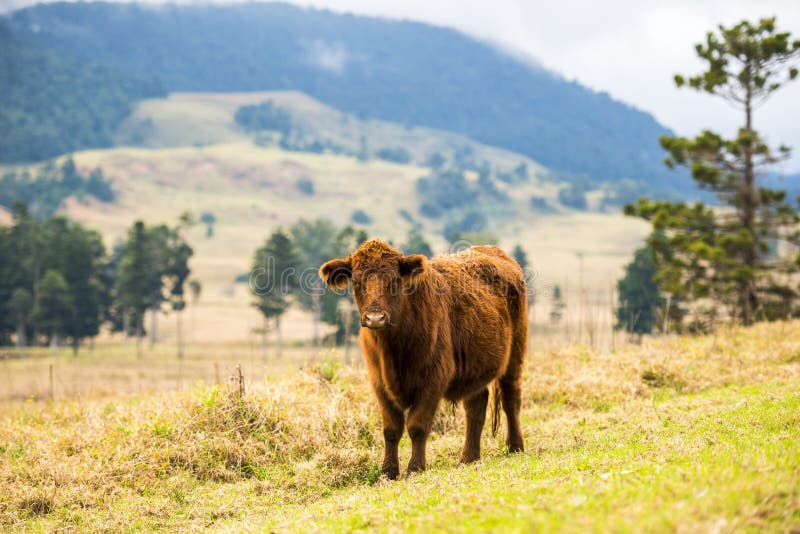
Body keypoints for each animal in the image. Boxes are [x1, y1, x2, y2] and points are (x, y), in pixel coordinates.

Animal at [319, 239, 527, 479]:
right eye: (356, 281)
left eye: (394, 281)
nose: (375, 318)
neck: (392, 348)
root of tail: (492, 250)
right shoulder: (379, 382)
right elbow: (391, 429)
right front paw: (388, 472)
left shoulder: (433, 379)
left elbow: (417, 425)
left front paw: (415, 468)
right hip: (476, 365)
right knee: (476, 406)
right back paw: (468, 458)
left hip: (515, 354)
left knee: (511, 398)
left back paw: (515, 447)